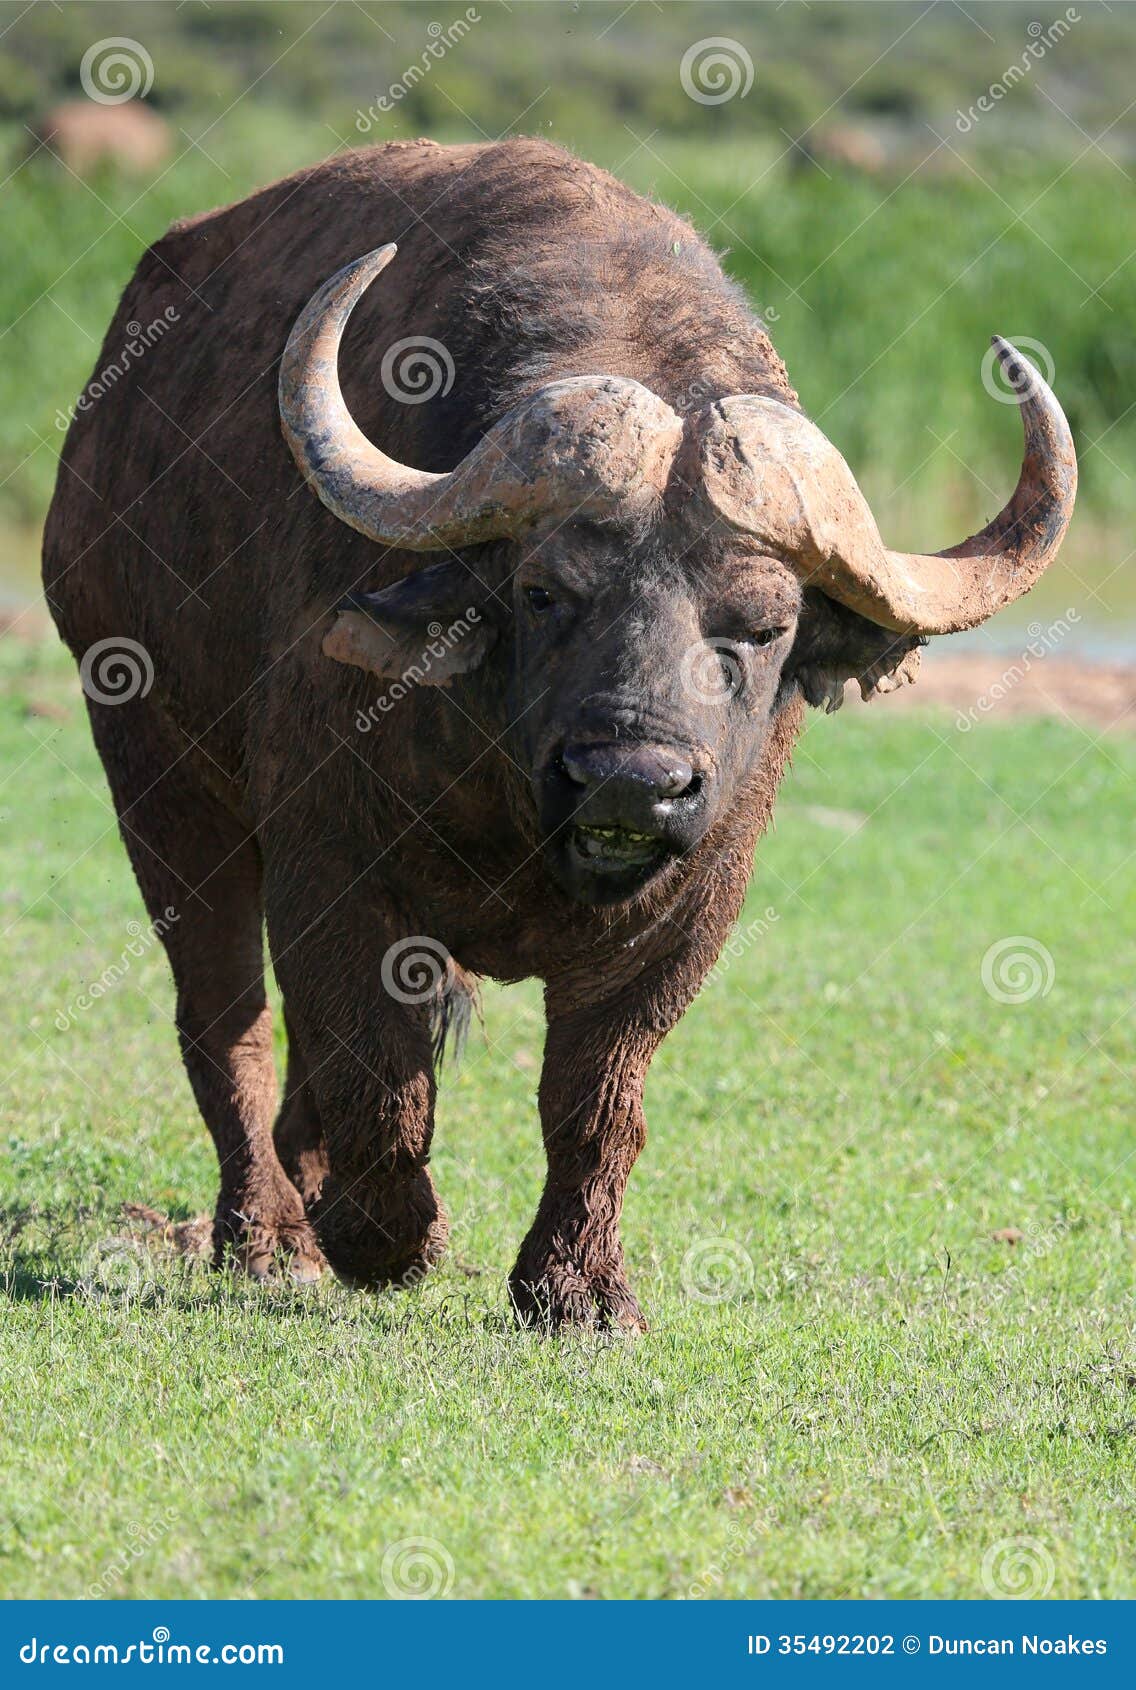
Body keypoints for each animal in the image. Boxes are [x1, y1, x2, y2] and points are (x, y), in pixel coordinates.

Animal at [43, 139, 1076, 1329]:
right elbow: (374, 1066)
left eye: (764, 625)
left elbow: (593, 1097)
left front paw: (578, 1289)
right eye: (542, 592)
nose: (631, 780)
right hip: (153, 767)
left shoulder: (688, 912)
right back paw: (268, 1235)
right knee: (228, 1018)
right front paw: (383, 1238)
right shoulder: (327, 861)